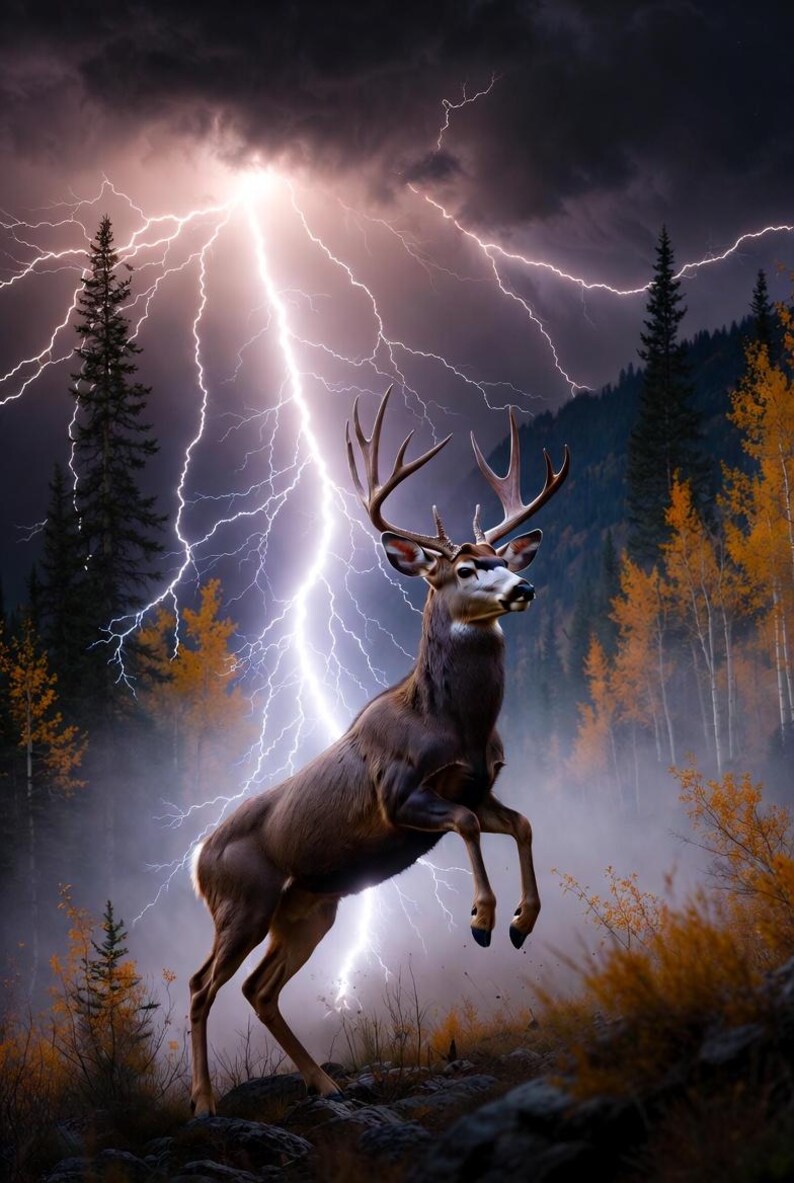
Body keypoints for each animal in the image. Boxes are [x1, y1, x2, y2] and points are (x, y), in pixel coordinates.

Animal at [189, 386, 570, 1115]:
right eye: (465, 567)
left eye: (506, 557)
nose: (525, 588)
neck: (453, 724)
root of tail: (195, 861)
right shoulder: (399, 796)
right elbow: (469, 825)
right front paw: (482, 919)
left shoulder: (479, 784)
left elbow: (523, 823)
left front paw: (521, 922)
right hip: (242, 903)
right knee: (202, 985)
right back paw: (205, 1102)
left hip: (309, 907)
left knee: (258, 989)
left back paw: (325, 1082)